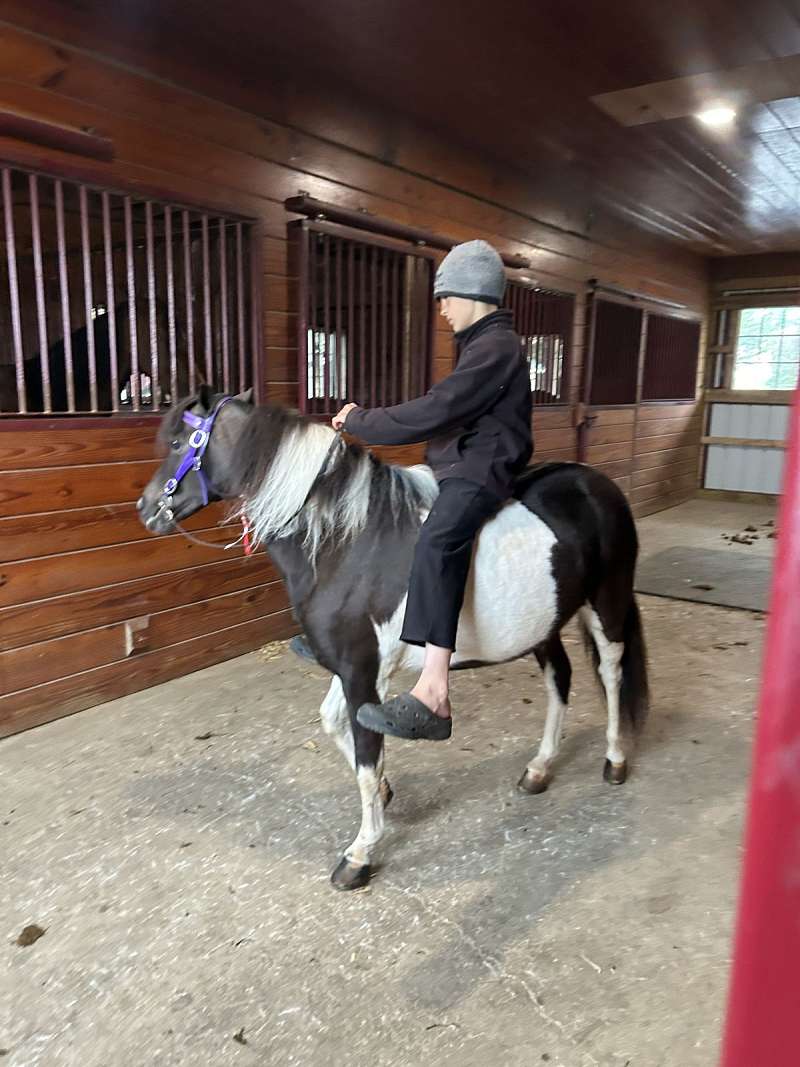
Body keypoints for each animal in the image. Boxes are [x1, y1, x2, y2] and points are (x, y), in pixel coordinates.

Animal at [137, 387, 649, 890]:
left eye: (179, 444)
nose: (145, 508)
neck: (347, 541)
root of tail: (596, 484)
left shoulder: (363, 670)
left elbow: (366, 756)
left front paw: (360, 853)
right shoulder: (351, 664)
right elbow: (337, 726)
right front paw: (385, 795)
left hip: (606, 605)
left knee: (611, 673)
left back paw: (615, 759)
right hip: (544, 622)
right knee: (559, 679)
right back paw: (539, 768)